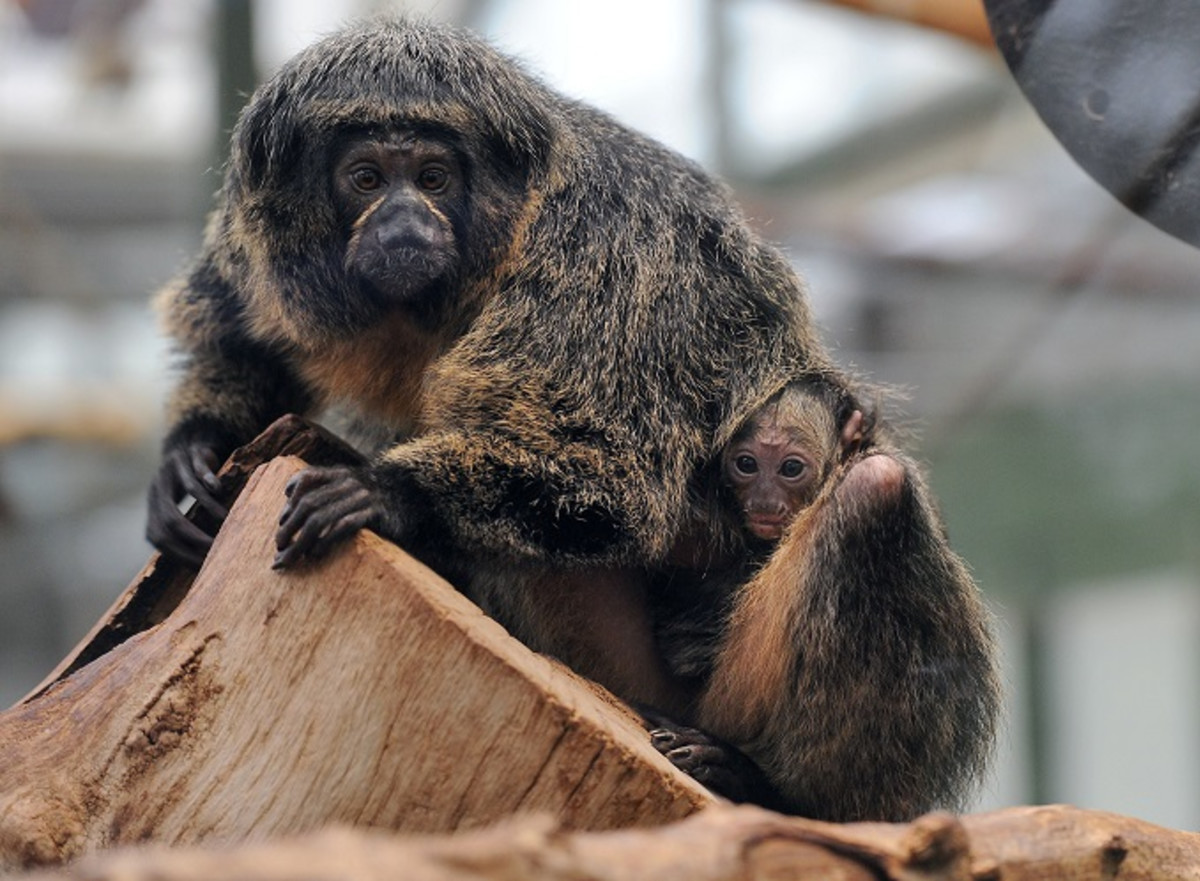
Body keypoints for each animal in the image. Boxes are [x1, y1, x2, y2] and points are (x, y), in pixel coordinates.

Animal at [145, 18, 999, 822]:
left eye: (433, 177)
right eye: (365, 178)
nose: (404, 219)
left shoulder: (610, 253)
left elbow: (608, 480)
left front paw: (387, 493)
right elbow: (237, 319)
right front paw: (193, 451)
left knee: (874, 492)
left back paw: (777, 791)